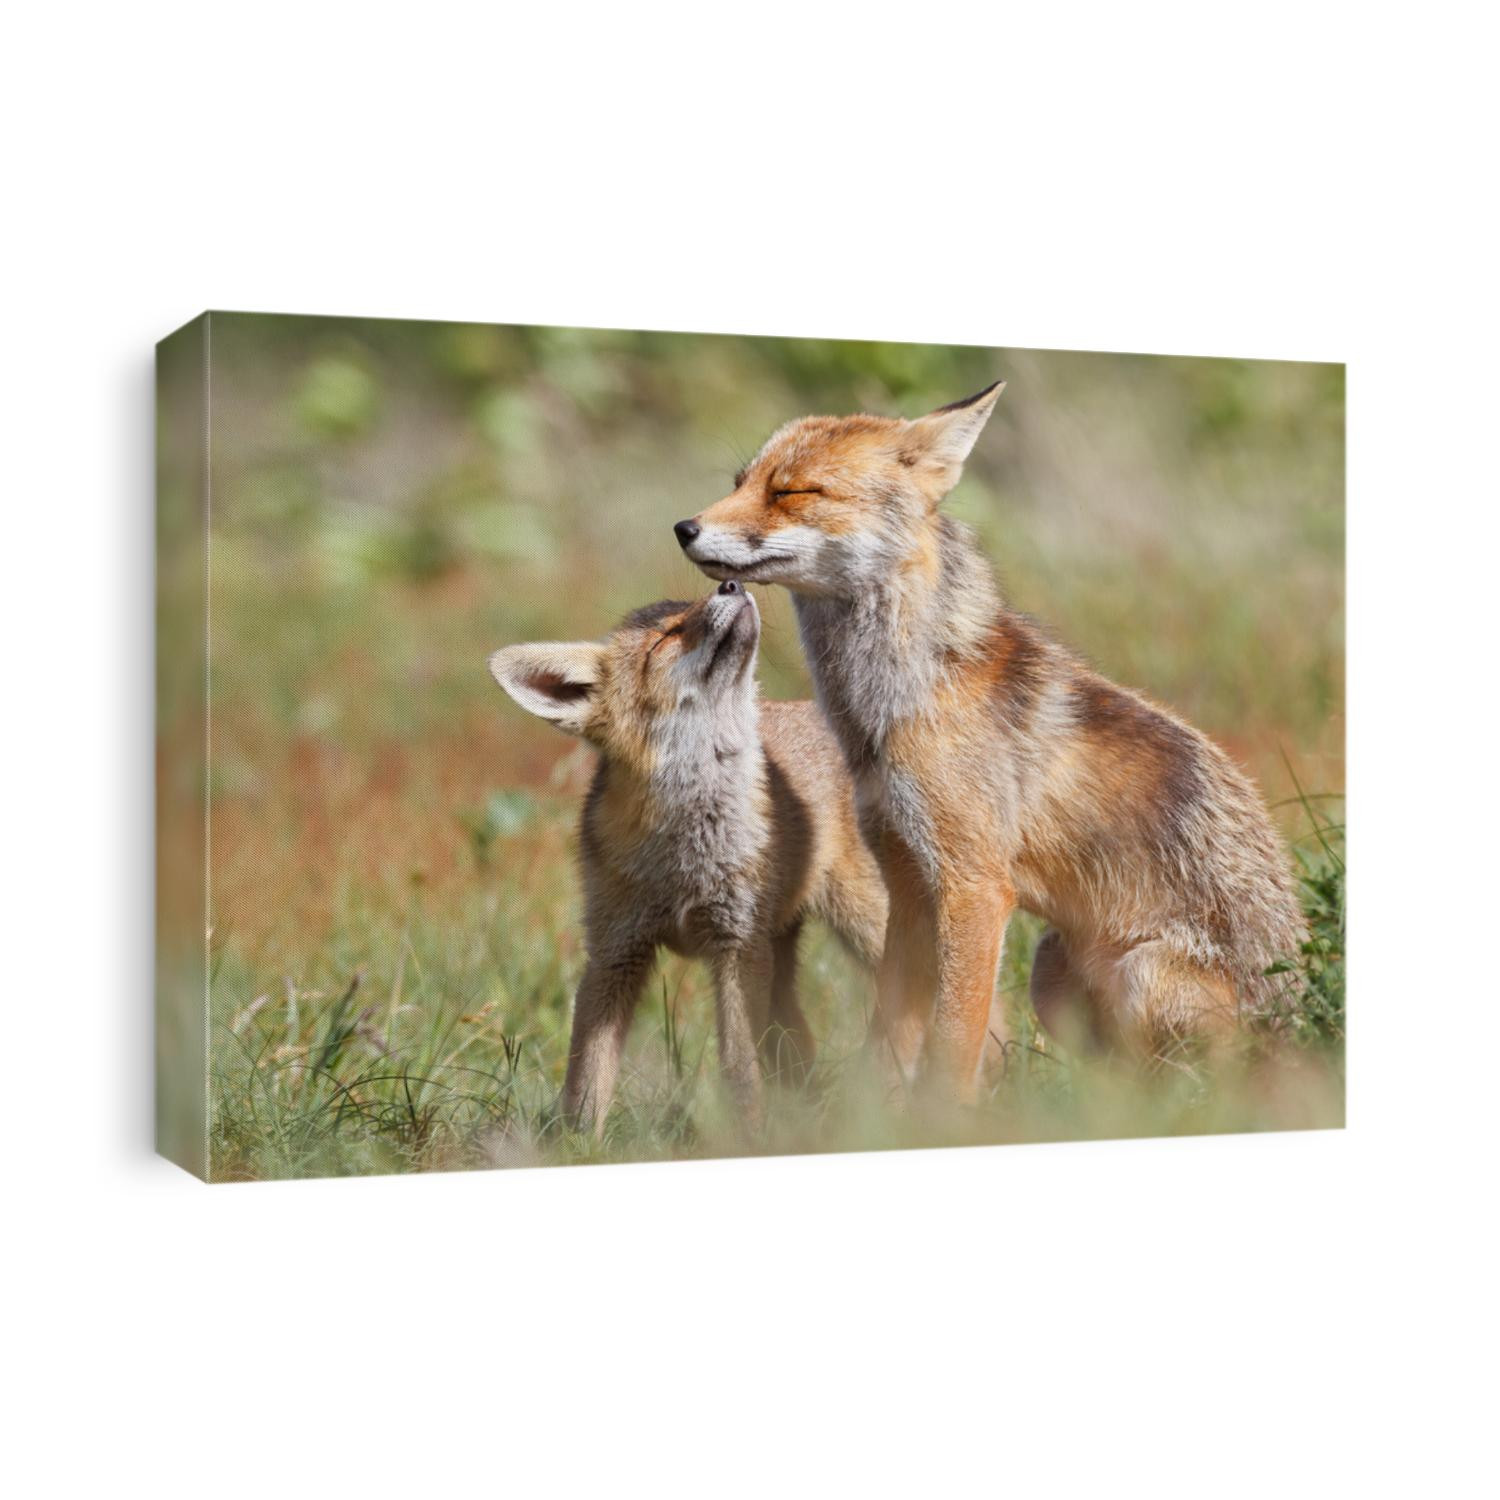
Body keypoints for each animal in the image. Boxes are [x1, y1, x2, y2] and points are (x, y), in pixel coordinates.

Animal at [488, 580, 887, 1134]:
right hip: (780, 967)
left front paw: (749, 1138)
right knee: (800, 1059)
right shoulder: (616, 949)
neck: (682, 860)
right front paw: (577, 1144)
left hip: (862, 927)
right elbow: (587, 1080)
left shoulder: (735, 947)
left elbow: (739, 1072)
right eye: (666, 637)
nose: (731, 583)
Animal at [674, 382, 1307, 1099]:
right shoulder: (908, 878)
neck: (890, 704)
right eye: (740, 483)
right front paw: (874, 1112)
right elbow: (889, 1034)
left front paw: (938, 1117)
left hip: (1136, 977)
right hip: (1052, 968)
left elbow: (953, 1043)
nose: (684, 528)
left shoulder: (973, 886)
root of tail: (1297, 1025)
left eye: (792, 492)